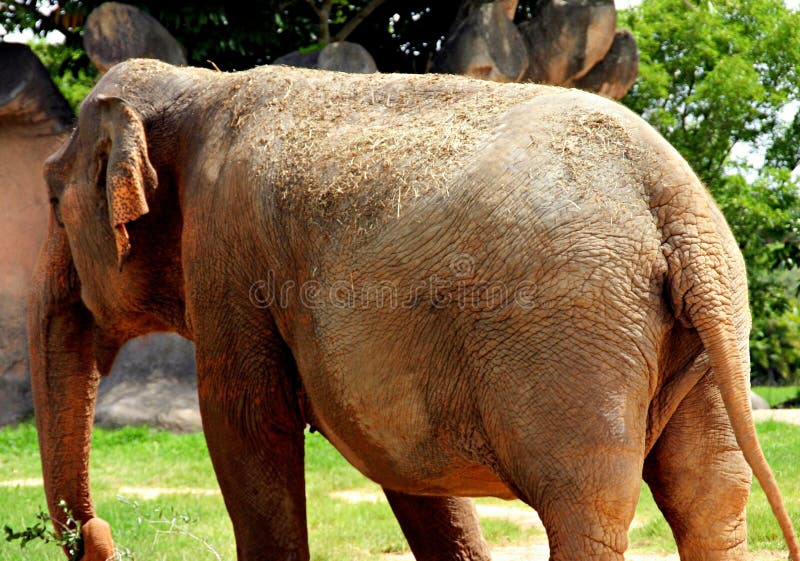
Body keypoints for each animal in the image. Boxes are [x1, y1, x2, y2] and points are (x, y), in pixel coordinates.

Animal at [31, 58, 799, 561]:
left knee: (587, 506)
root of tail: (674, 197)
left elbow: (246, 428)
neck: (198, 84)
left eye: (50, 200)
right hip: (698, 332)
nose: (102, 537)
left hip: (571, 334)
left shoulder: (226, 256)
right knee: (710, 497)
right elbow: (404, 471)